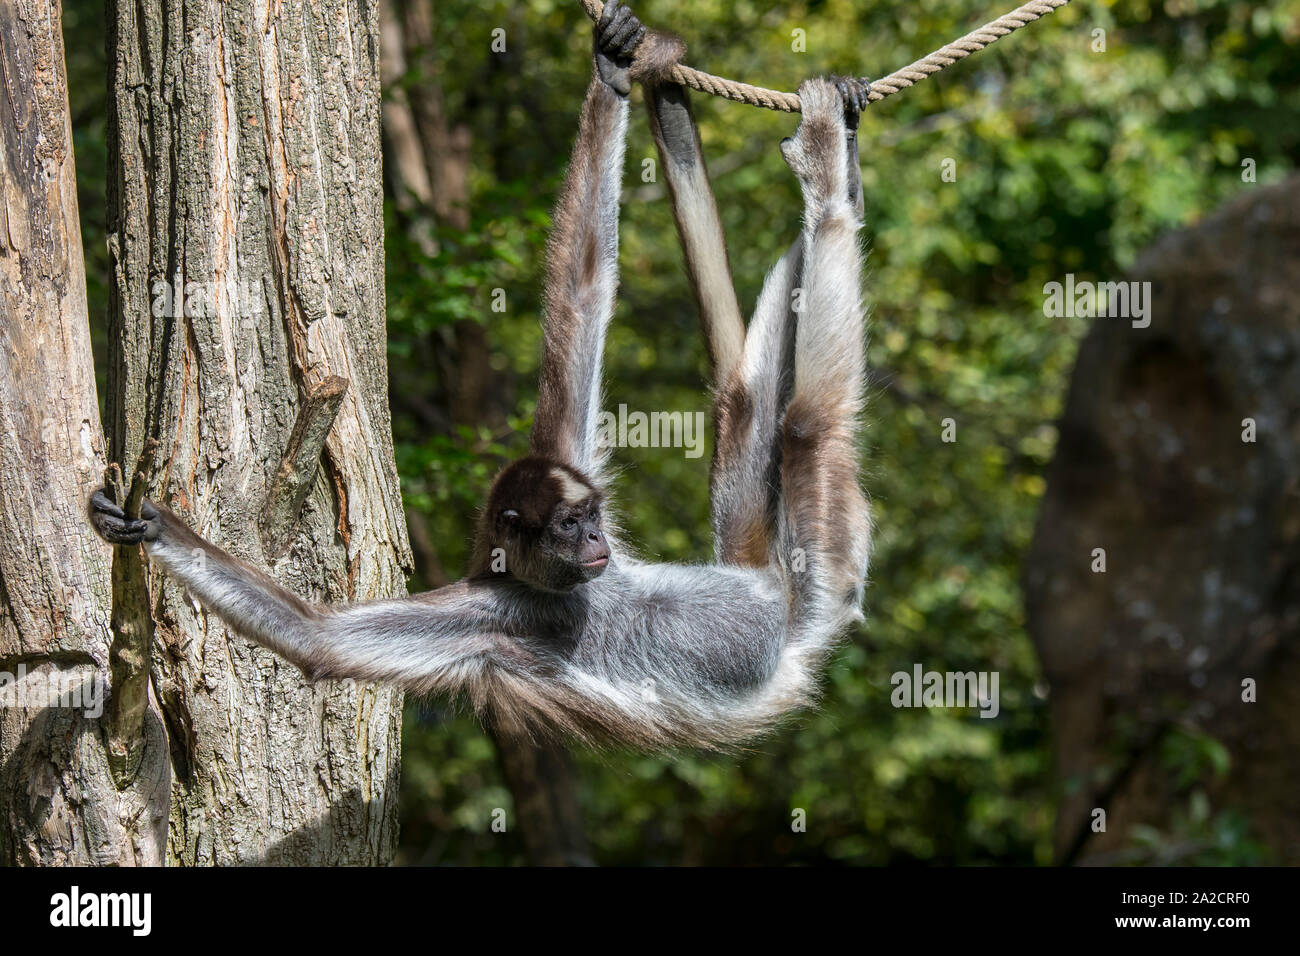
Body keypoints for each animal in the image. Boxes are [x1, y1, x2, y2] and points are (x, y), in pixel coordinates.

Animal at [88, 3, 872, 751]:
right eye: (568, 527)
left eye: (592, 520)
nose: (597, 544)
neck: (560, 594)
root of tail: (785, 615)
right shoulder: (488, 616)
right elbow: (316, 636)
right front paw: (151, 527)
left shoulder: (565, 473)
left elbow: (583, 289)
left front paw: (610, 66)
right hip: (817, 580)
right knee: (805, 420)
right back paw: (829, 178)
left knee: (749, 400)